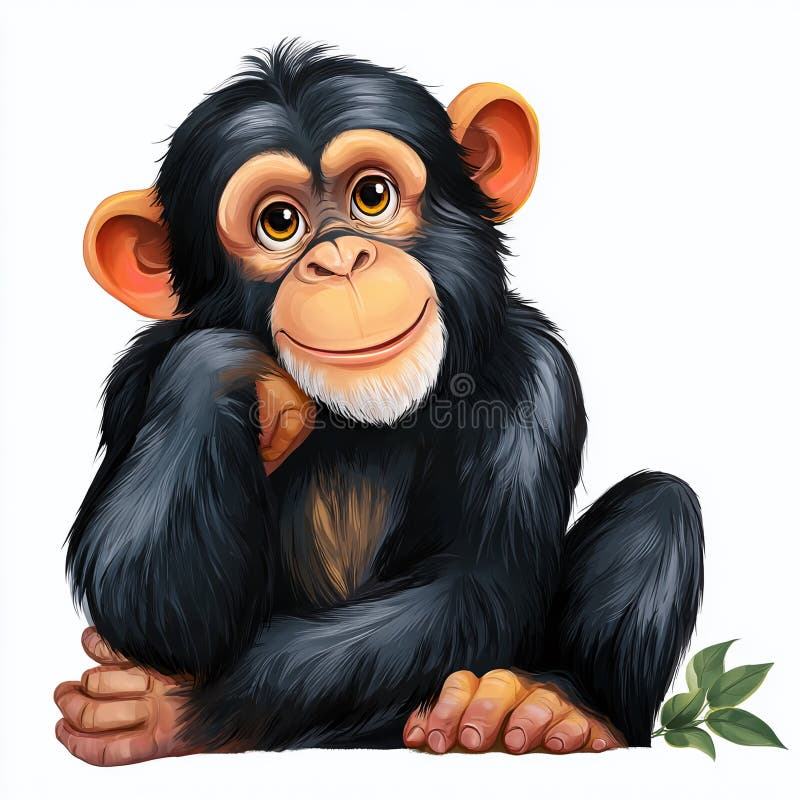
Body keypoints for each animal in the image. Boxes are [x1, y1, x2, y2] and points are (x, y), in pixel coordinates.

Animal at [54, 41, 703, 766]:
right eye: (280, 223)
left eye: (372, 196)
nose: (341, 260)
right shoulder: (137, 381)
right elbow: (146, 595)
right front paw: (230, 370)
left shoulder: (535, 374)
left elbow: (470, 591)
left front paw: (170, 713)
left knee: (660, 506)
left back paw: (553, 709)